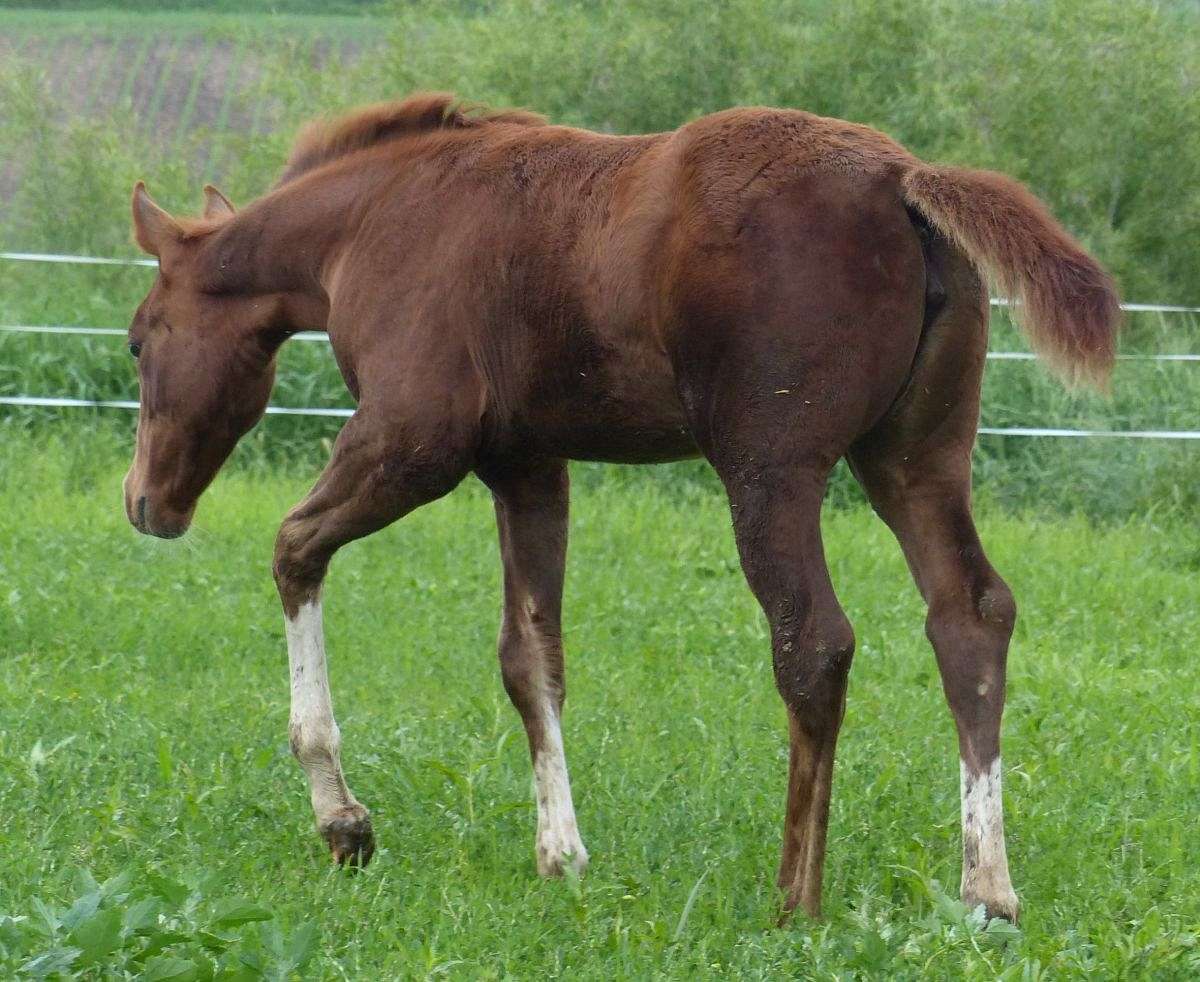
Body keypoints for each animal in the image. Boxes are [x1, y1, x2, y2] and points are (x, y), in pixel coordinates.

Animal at [123, 93, 1119, 922]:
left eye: (138, 342)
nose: (146, 504)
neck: (372, 220)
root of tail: (899, 180)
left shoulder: (413, 440)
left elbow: (294, 549)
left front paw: (344, 822)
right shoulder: (526, 465)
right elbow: (531, 657)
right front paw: (560, 854)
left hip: (770, 468)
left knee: (815, 643)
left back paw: (796, 896)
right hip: (916, 459)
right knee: (969, 616)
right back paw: (987, 891)